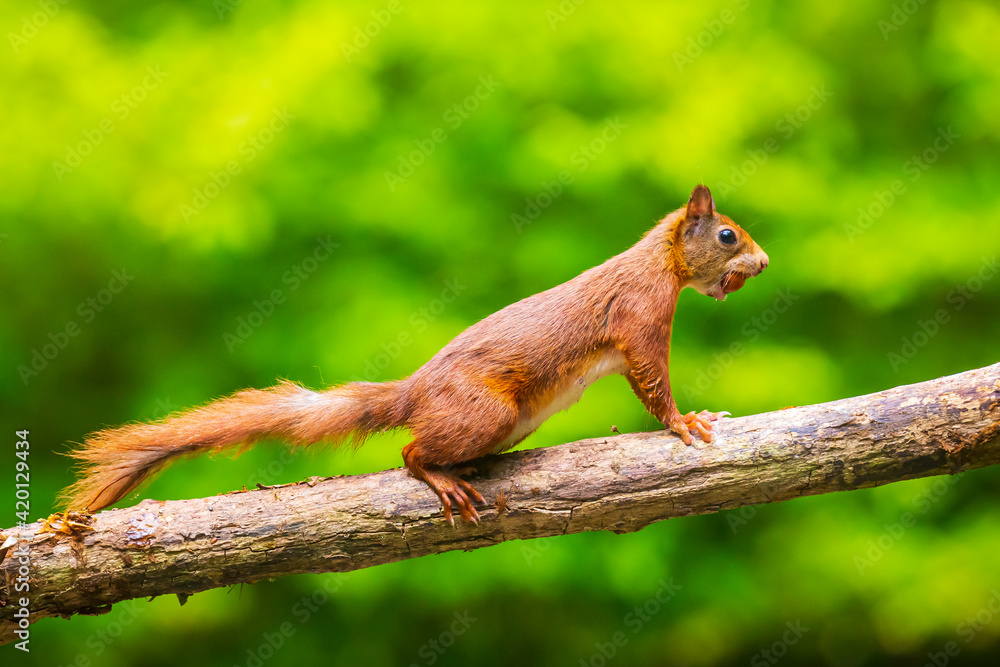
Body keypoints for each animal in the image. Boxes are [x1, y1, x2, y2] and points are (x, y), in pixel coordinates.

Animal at [61, 185, 768, 524]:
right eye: (727, 235)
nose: (762, 264)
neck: (659, 265)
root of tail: (416, 391)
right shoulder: (639, 320)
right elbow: (653, 384)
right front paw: (685, 421)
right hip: (482, 411)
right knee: (409, 454)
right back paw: (443, 477)